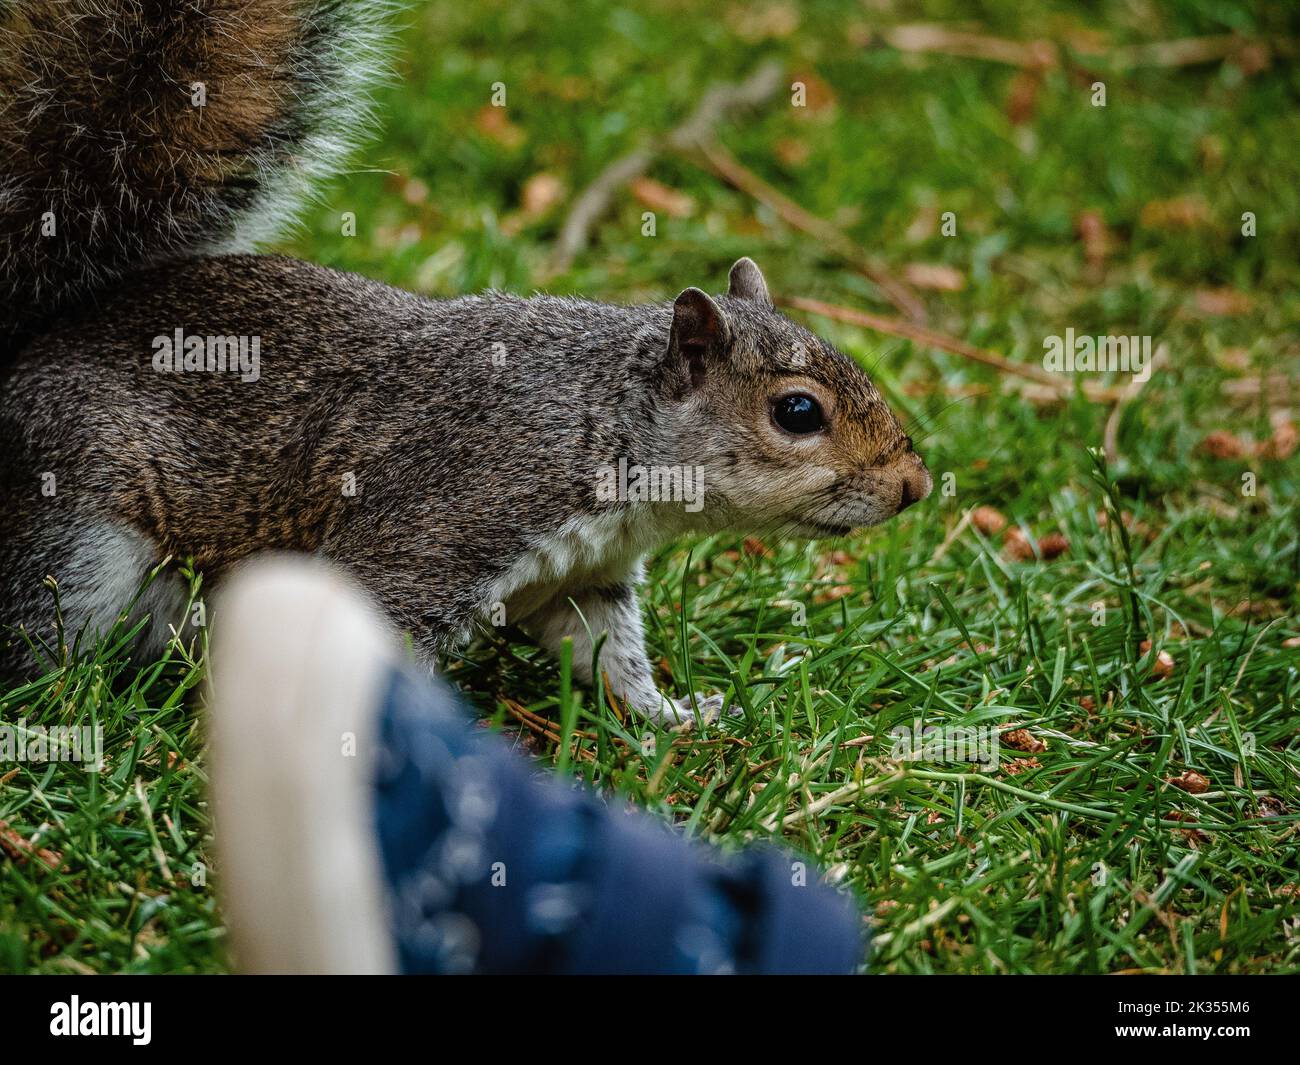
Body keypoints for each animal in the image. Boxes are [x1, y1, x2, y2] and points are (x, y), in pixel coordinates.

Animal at [0, 0, 932, 723]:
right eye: (798, 411)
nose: (915, 485)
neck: (604, 422)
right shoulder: (455, 516)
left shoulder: (583, 578)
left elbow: (609, 661)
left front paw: (680, 715)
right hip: (76, 524)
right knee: (39, 627)